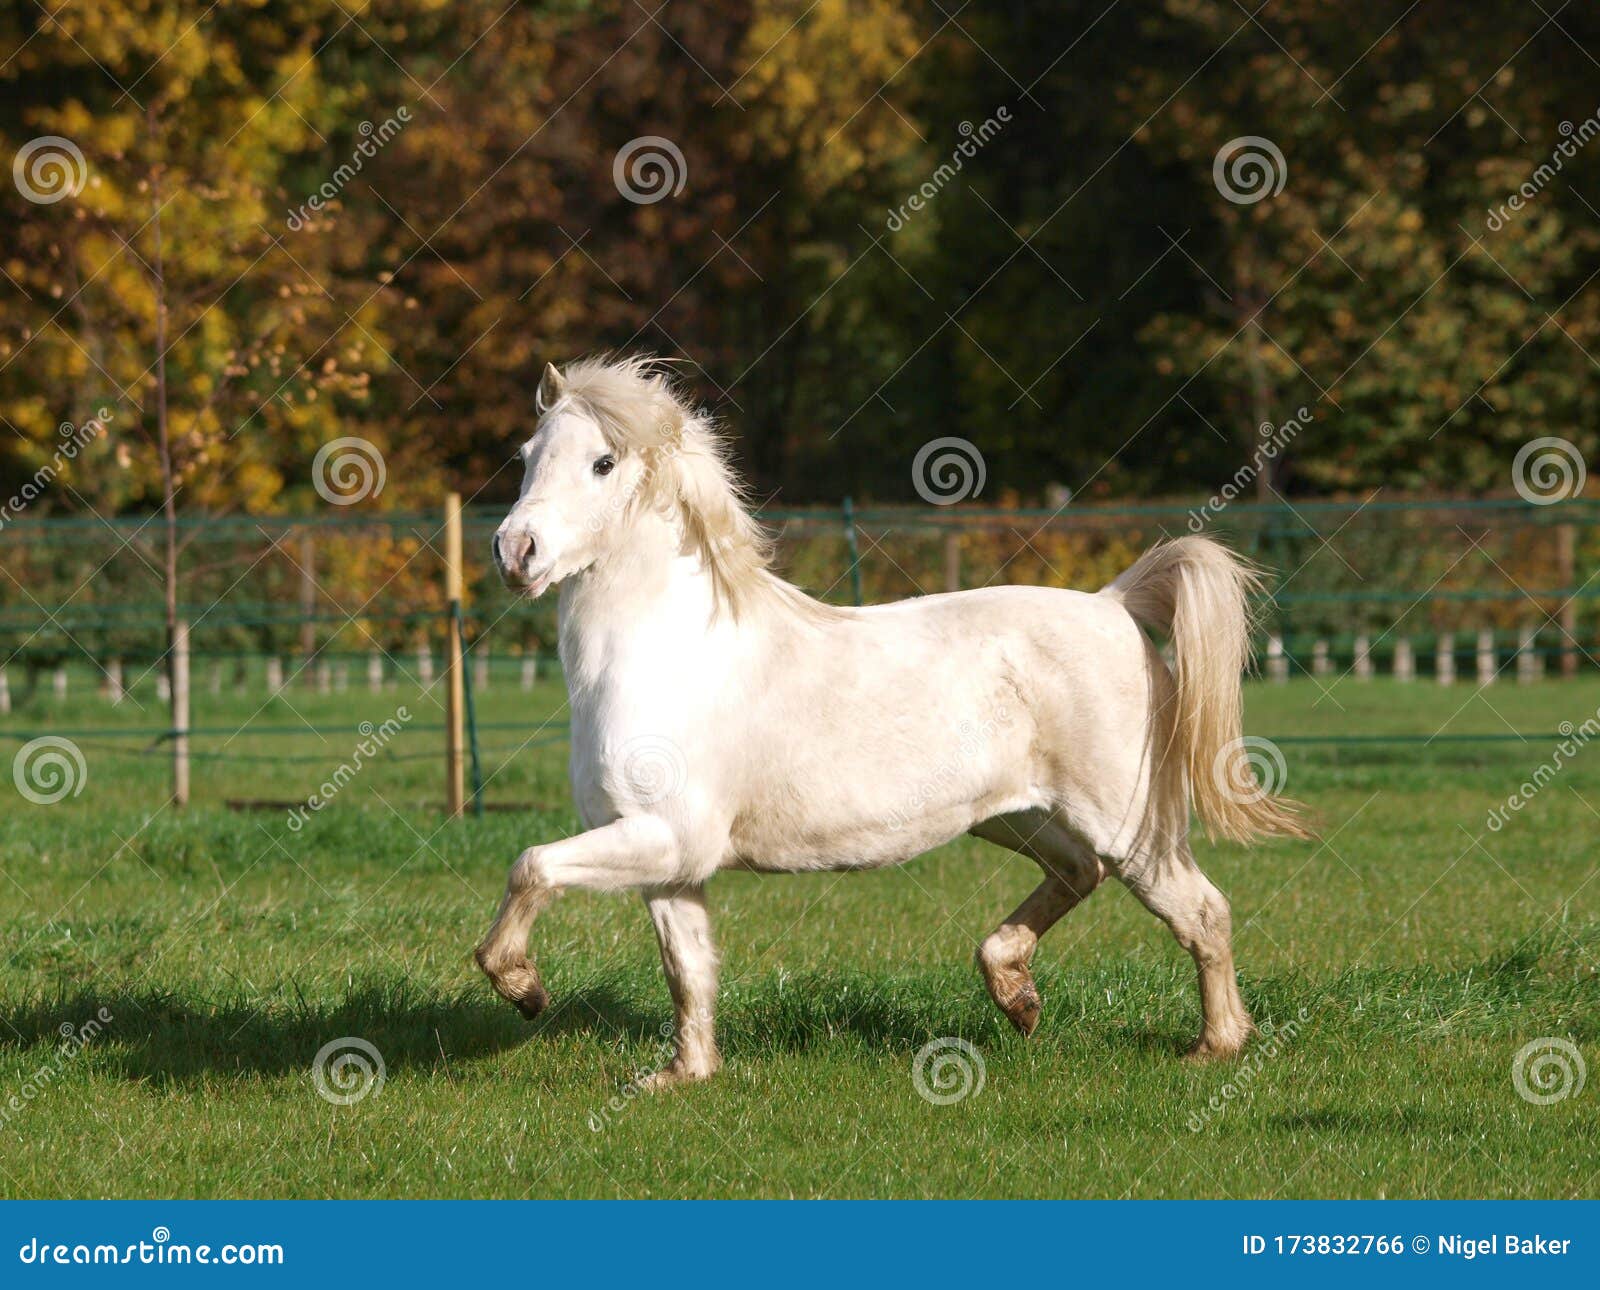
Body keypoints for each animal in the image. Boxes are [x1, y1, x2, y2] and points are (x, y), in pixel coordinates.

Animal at [475, 355, 1309, 1087]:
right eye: (526, 455)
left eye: (603, 462)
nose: (515, 551)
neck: (668, 654)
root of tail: (1115, 605)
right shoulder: (667, 858)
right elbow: (689, 969)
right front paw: (684, 1075)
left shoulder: (665, 837)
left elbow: (531, 866)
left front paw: (523, 988)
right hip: (1017, 815)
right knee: (1079, 872)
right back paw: (1016, 993)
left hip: (1127, 821)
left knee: (1200, 911)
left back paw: (1214, 1046)